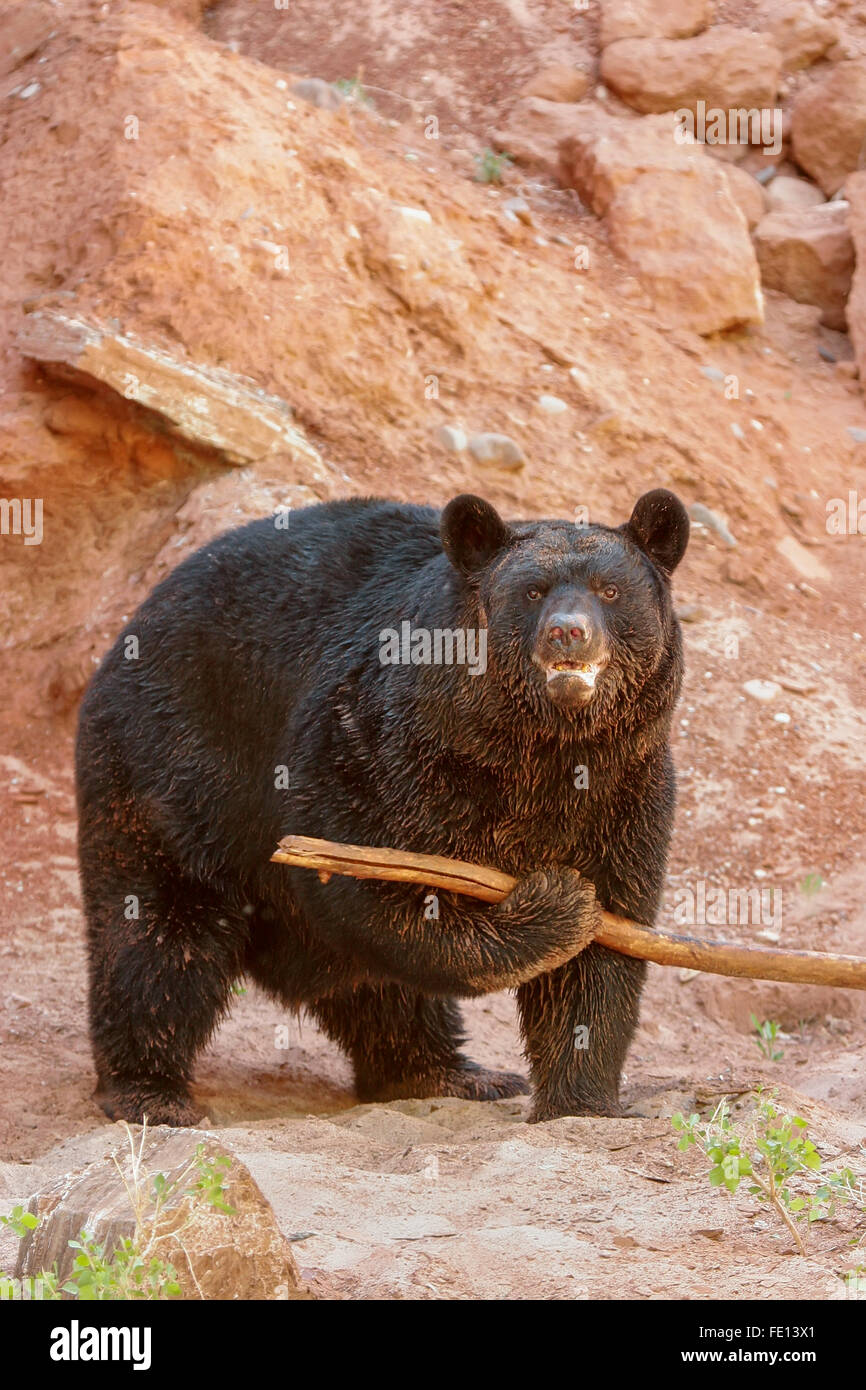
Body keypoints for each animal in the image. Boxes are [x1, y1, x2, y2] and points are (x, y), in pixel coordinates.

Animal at [75, 488, 689, 1127]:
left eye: (610, 590)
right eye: (533, 591)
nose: (568, 633)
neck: (534, 753)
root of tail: (132, 627)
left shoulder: (625, 789)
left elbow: (606, 946)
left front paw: (581, 1101)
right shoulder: (380, 744)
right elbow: (369, 878)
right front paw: (553, 905)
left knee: (378, 992)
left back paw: (445, 1073)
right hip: (175, 767)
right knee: (160, 936)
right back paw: (151, 1091)